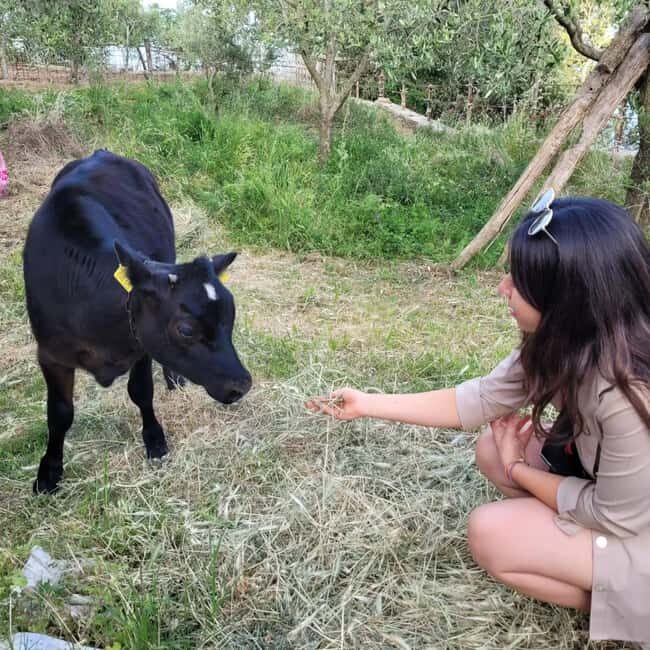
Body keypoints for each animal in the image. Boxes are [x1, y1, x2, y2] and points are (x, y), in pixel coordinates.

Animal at [23, 149, 252, 494]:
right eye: (185, 329)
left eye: (231, 317)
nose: (242, 385)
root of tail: (102, 152)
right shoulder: (50, 354)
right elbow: (59, 414)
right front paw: (49, 471)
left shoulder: (140, 345)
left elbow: (141, 391)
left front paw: (154, 440)